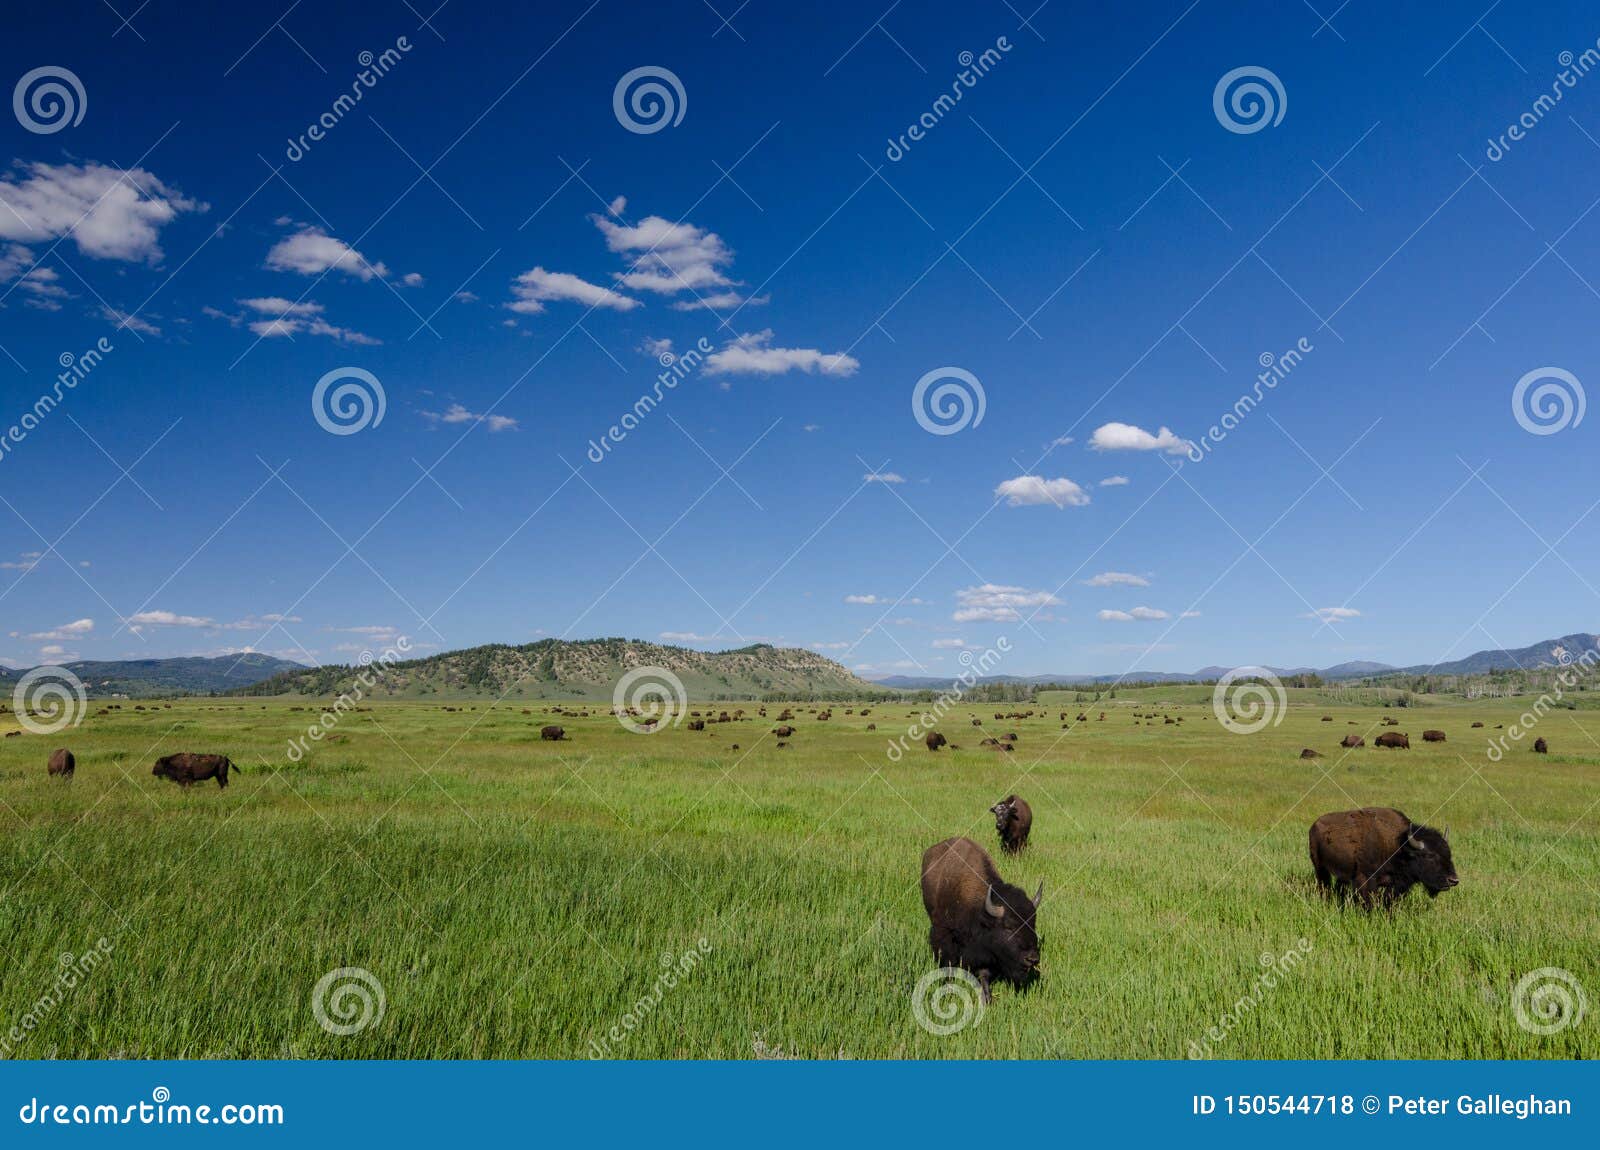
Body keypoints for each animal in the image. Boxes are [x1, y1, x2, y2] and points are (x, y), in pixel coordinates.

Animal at [920, 837, 1042, 1003]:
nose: (1032, 959)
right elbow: (948, 965)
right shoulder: (943, 934)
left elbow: (984, 973)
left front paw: (986, 998)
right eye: (1009, 927)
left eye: (1033, 924)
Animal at [1309, 807, 1458, 907]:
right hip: (1320, 868)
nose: (1453, 880)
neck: (1399, 846)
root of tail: (1315, 824)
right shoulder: (1366, 880)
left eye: (1449, 853)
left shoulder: (1395, 886)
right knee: (1324, 884)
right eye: (1429, 855)